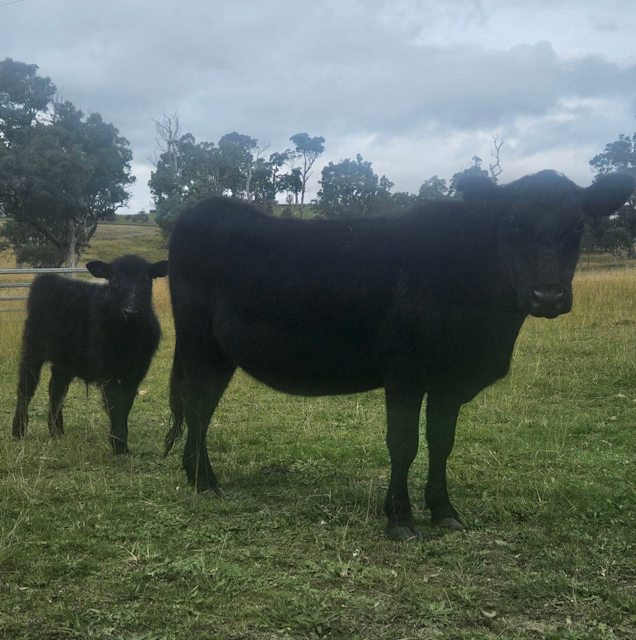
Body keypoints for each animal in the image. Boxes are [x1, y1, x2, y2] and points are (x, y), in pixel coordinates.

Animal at [12, 254, 168, 453]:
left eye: (146, 281)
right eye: (114, 280)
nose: (131, 311)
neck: (128, 337)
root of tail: (48, 280)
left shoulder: (135, 373)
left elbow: (125, 405)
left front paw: (121, 444)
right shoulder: (109, 373)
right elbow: (115, 406)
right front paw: (119, 447)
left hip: (65, 361)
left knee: (56, 390)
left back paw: (56, 431)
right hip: (32, 348)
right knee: (26, 387)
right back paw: (19, 430)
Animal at [164, 171, 633, 540]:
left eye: (578, 227)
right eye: (512, 225)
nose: (548, 295)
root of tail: (201, 210)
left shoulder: (449, 381)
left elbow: (442, 442)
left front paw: (444, 511)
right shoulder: (403, 373)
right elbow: (403, 444)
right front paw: (401, 520)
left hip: (219, 354)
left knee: (200, 408)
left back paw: (195, 475)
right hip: (199, 344)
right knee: (199, 407)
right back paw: (206, 482)